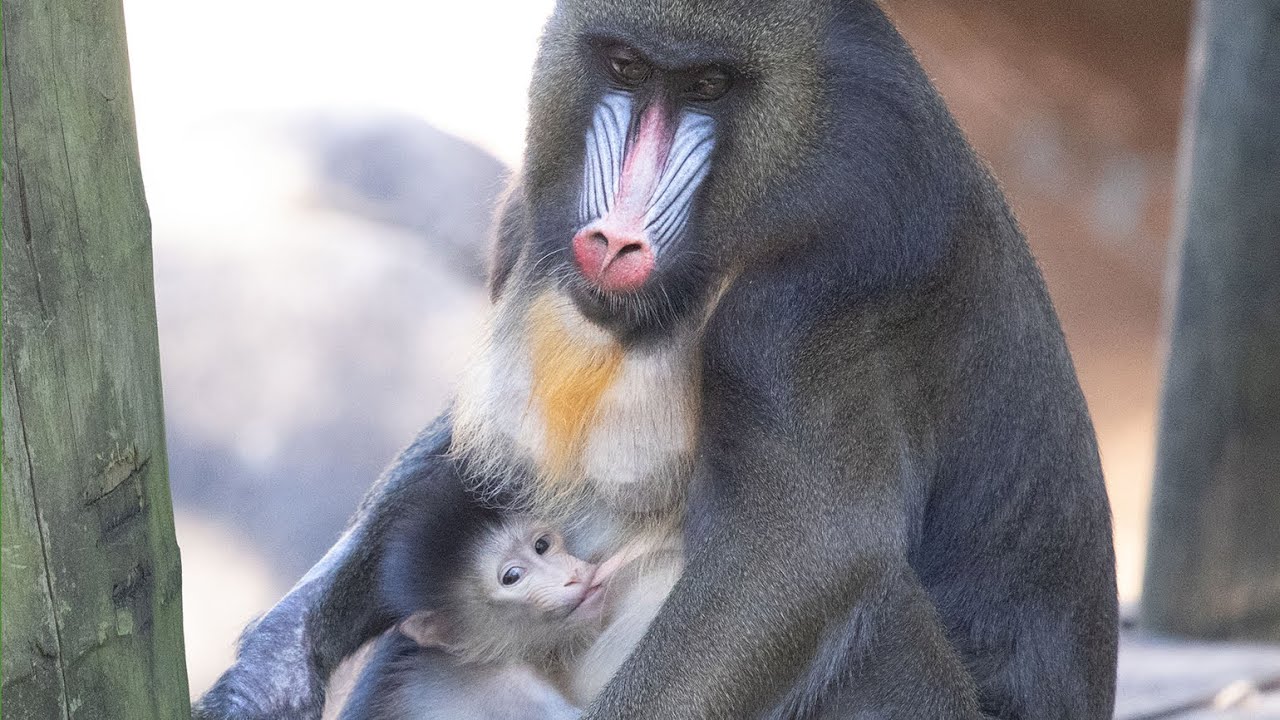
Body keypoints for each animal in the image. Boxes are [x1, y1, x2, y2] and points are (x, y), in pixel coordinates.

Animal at [193, 2, 1119, 719]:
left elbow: (811, 551)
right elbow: (478, 460)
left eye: (707, 85)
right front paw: (271, 669)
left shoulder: (839, 270)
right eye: (627, 68)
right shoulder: (530, 213)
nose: (616, 238)